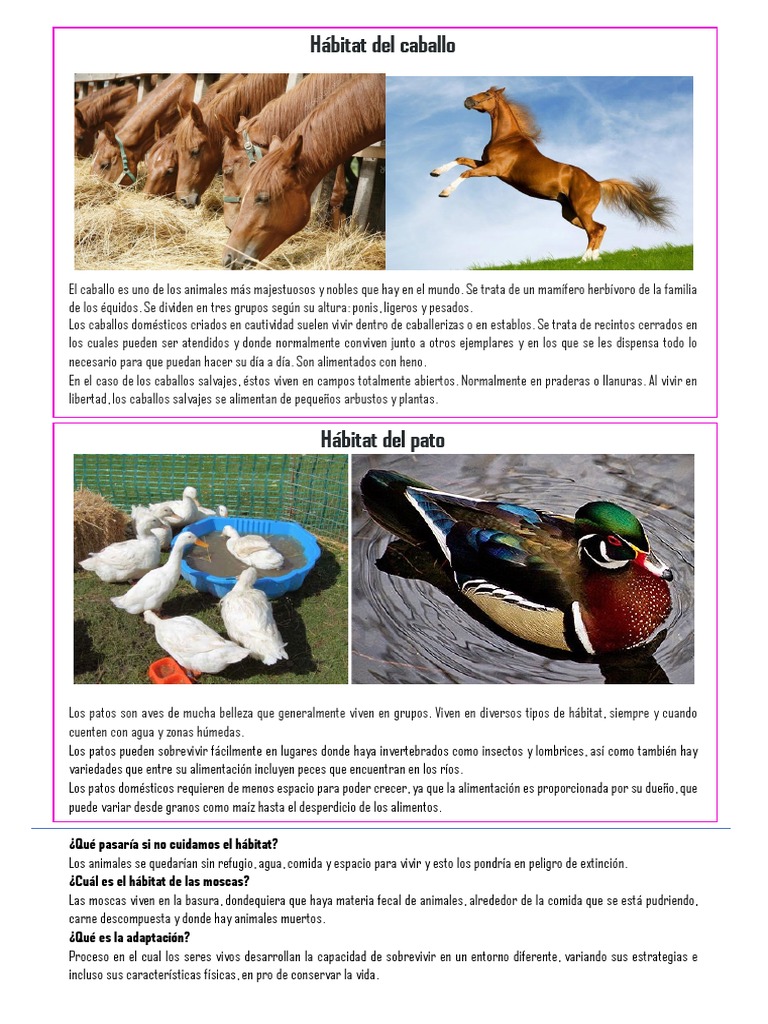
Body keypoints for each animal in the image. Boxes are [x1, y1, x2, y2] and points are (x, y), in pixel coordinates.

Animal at [430, 86, 672, 261]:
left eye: (487, 94)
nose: (467, 100)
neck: (507, 139)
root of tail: (598, 183)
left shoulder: (493, 170)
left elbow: (465, 174)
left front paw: (444, 192)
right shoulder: (484, 163)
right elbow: (461, 159)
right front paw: (435, 172)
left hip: (581, 210)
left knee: (594, 230)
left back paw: (583, 260)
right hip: (571, 214)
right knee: (600, 228)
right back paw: (594, 259)